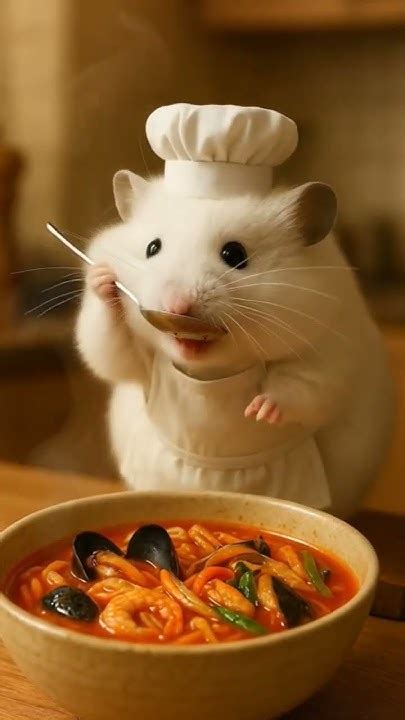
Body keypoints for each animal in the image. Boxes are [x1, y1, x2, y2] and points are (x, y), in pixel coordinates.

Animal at [76, 171, 395, 518]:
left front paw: (259, 410)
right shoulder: (135, 359)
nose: (177, 306)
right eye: (152, 247)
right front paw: (103, 278)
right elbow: (107, 347)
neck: (209, 370)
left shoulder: (329, 353)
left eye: (235, 254)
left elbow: (301, 386)